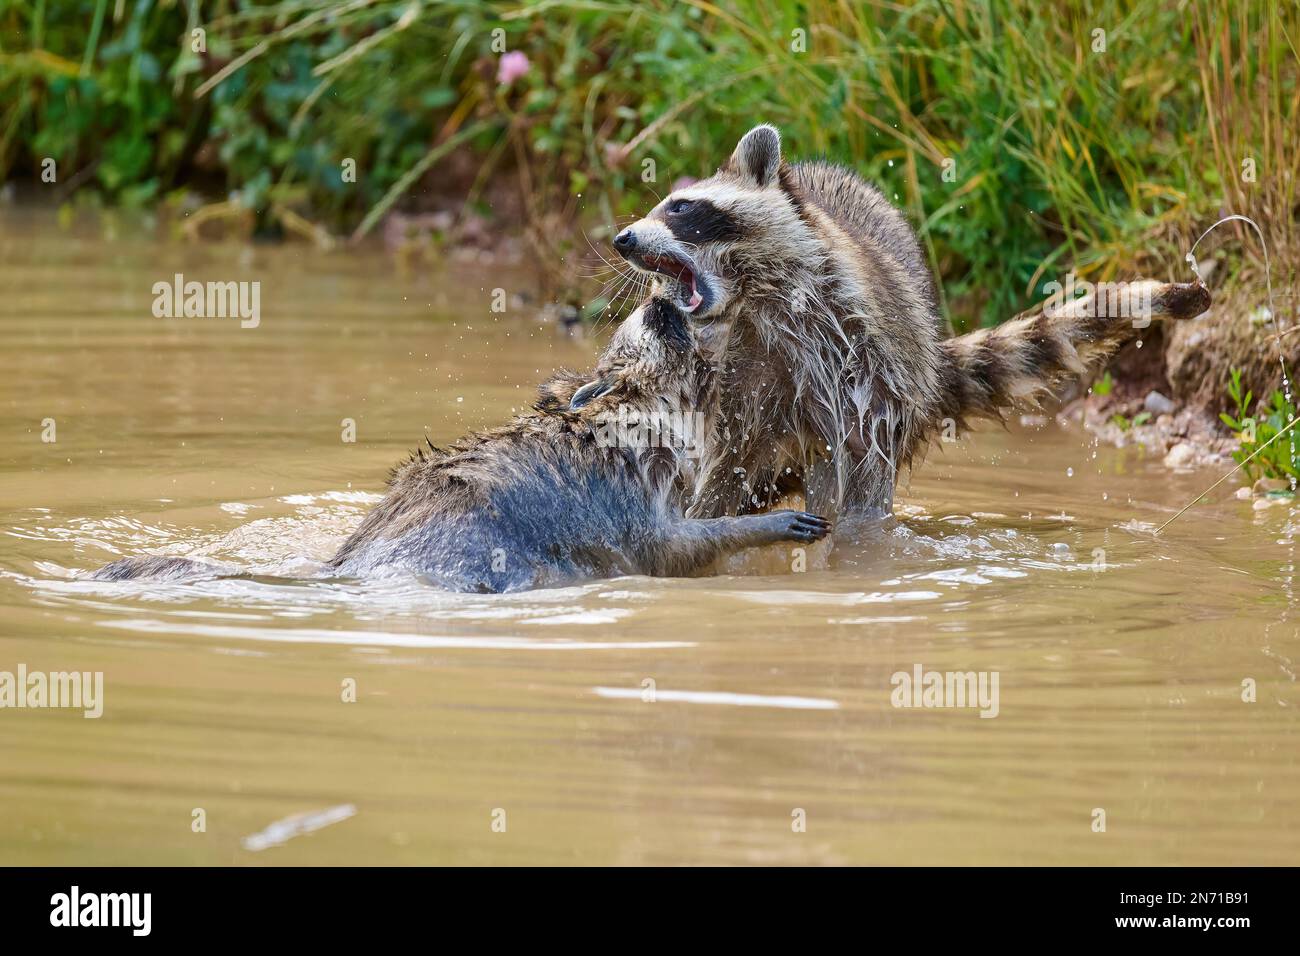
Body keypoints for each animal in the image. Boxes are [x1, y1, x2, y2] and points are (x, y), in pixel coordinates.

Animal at [612, 124, 1210, 520]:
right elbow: (720, 474)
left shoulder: (861, 357)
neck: (759, 302)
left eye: (681, 207)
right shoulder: (740, 387)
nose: (623, 239)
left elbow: (862, 481)